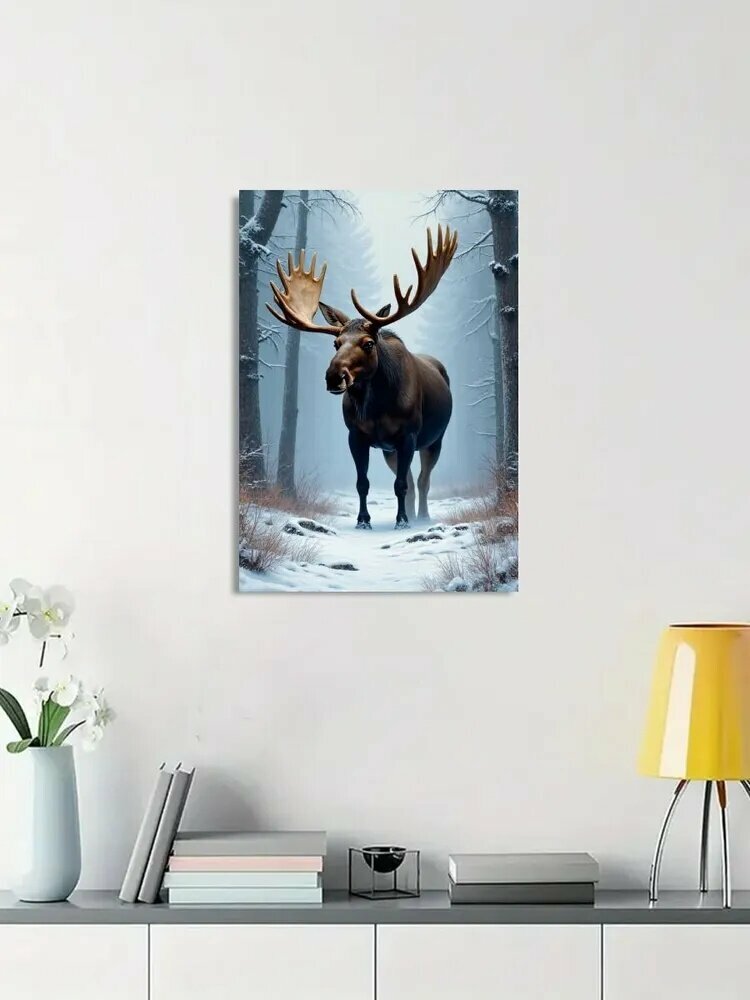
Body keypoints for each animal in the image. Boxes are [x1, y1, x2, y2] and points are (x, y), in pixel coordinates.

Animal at [267, 225, 457, 530]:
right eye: (336, 343)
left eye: (368, 343)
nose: (334, 377)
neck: (377, 408)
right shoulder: (356, 435)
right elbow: (363, 483)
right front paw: (363, 520)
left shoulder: (408, 434)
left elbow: (402, 484)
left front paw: (401, 521)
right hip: (389, 449)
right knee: (411, 480)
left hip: (434, 438)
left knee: (422, 480)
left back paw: (421, 517)